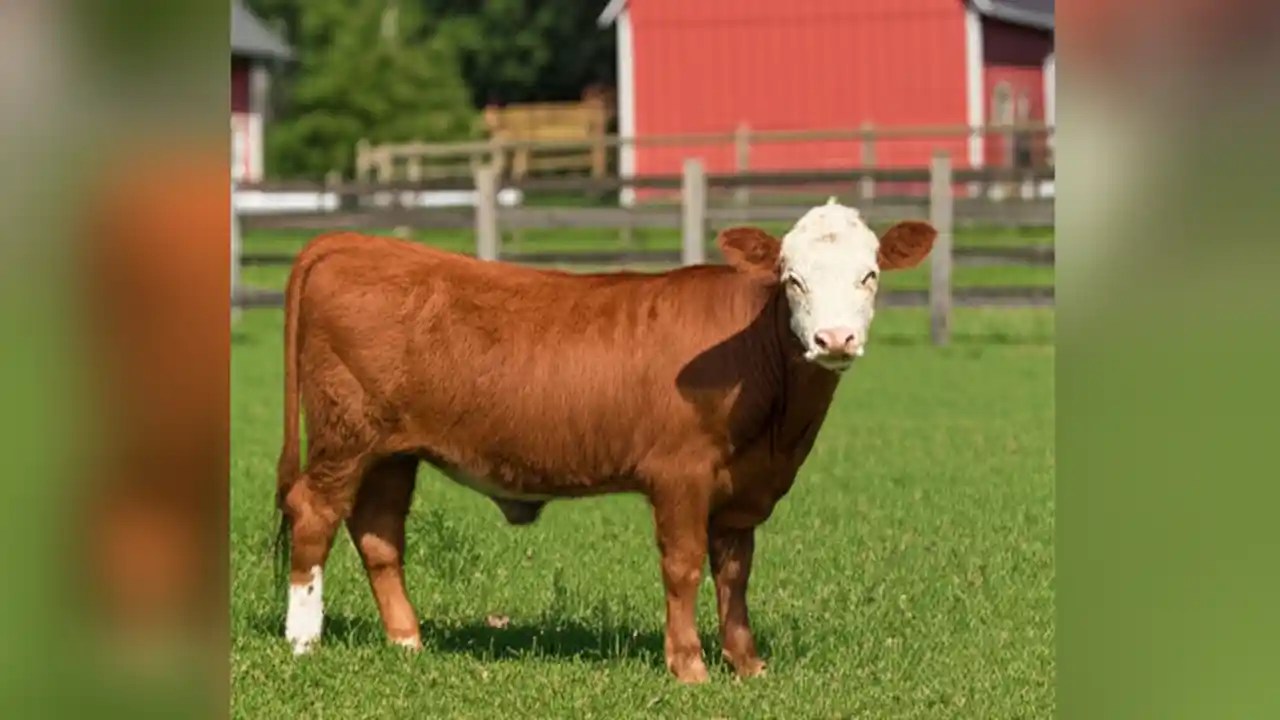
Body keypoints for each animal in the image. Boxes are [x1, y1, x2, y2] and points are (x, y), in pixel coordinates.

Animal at [276, 200, 935, 683]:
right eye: (792, 279)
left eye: (869, 275)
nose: (834, 339)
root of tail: (354, 243)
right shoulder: (680, 475)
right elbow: (684, 566)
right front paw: (689, 666)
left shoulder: (743, 488)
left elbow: (735, 572)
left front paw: (747, 665)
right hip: (345, 437)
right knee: (314, 513)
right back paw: (304, 640)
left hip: (392, 452)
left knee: (379, 534)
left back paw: (408, 642)